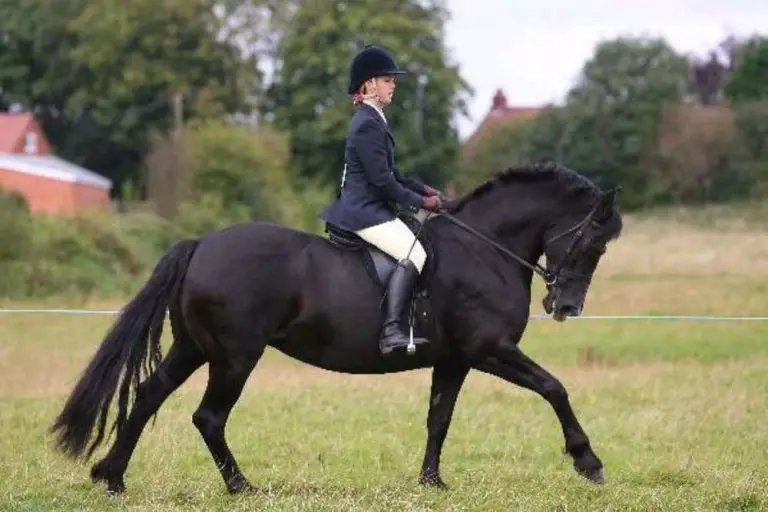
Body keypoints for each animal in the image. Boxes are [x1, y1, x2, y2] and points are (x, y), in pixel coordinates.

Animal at [49, 160, 623, 496]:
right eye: (595, 241)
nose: (565, 306)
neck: (484, 248)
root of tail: (202, 244)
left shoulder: (455, 359)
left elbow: (439, 418)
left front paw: (432, 482)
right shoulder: (490, 349)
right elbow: (554, 387)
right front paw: (588, 462)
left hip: (193, 347)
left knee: (149, 395)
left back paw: (113, 477)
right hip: (235, 356)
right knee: (208, 416)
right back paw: (242, 487)